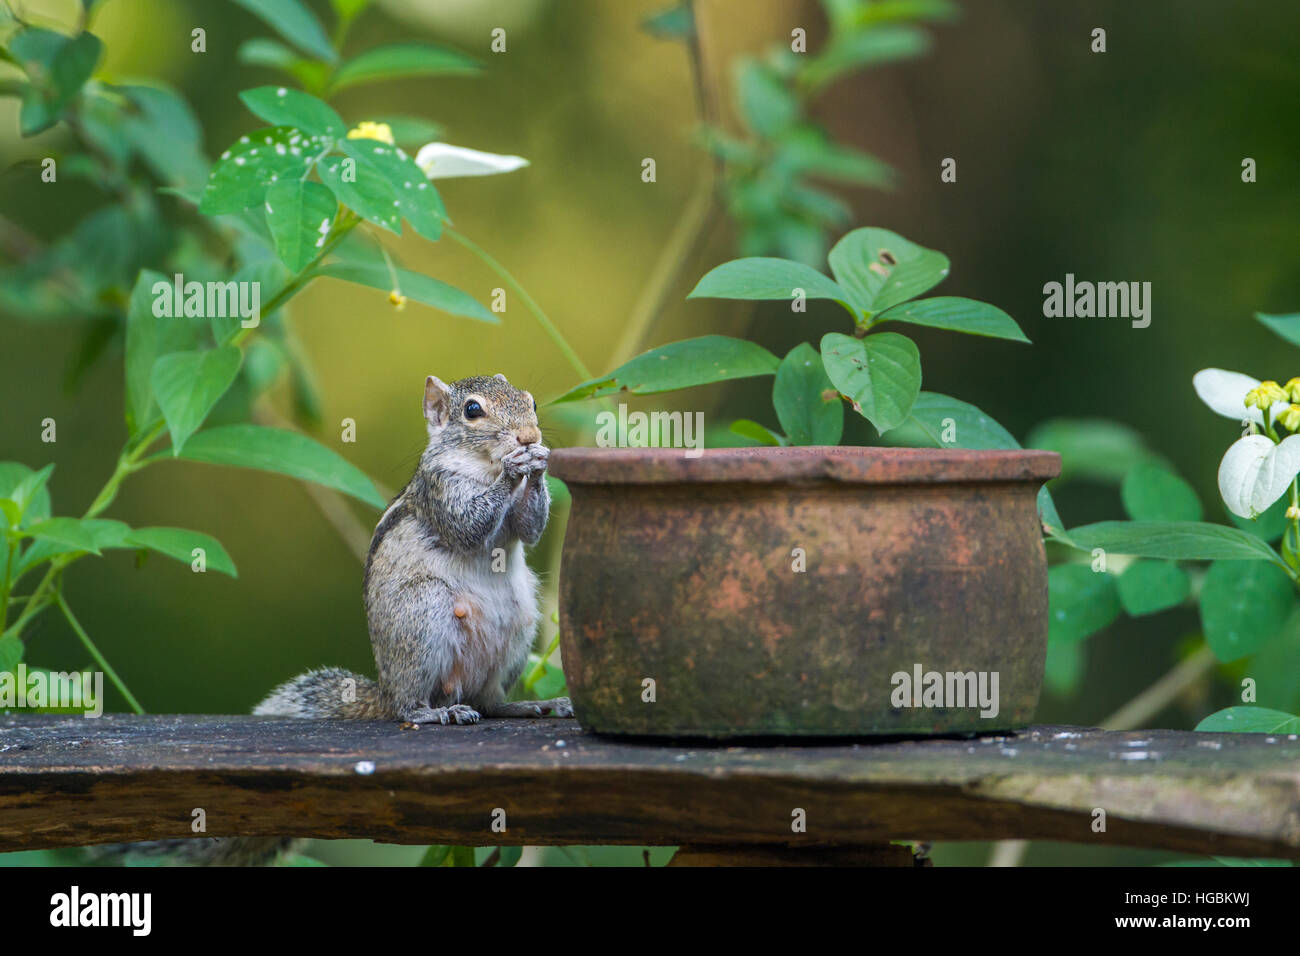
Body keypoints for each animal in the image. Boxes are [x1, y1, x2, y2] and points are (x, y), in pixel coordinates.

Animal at [105, 373, 570, 866]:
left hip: (518, 627)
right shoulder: (440, 490)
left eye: (530, 401)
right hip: (423, 617)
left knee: (490, 700)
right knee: (412, 706)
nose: (529, 436)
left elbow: (528, 527)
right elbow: (468, 523)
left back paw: (530, 706)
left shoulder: (514, 523)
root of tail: (384, 689)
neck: (481, 464)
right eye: (473, 411)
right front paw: (516, 469)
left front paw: (538, 465)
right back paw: (433, 712)